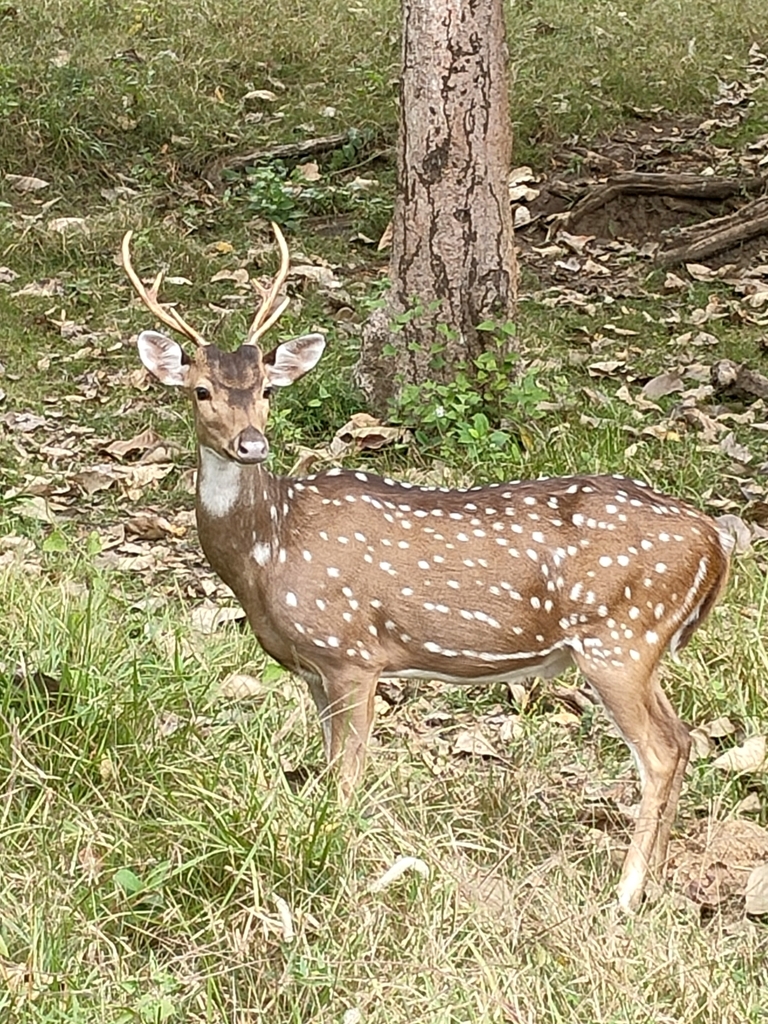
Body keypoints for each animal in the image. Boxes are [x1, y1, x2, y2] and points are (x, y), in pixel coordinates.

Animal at [121, 223, 733, 913]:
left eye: (268, 390)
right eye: (201, 391)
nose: (251, 444)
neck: (269, 550)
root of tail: (716, 543)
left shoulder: (352, 652)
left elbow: (347, 778)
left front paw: (341, 868)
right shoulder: (313, 668)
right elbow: (330, 767)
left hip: (620, 636)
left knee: (659, 752)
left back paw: (624, 895)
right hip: (646, 645)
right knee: (683, 738)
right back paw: (654, 883)